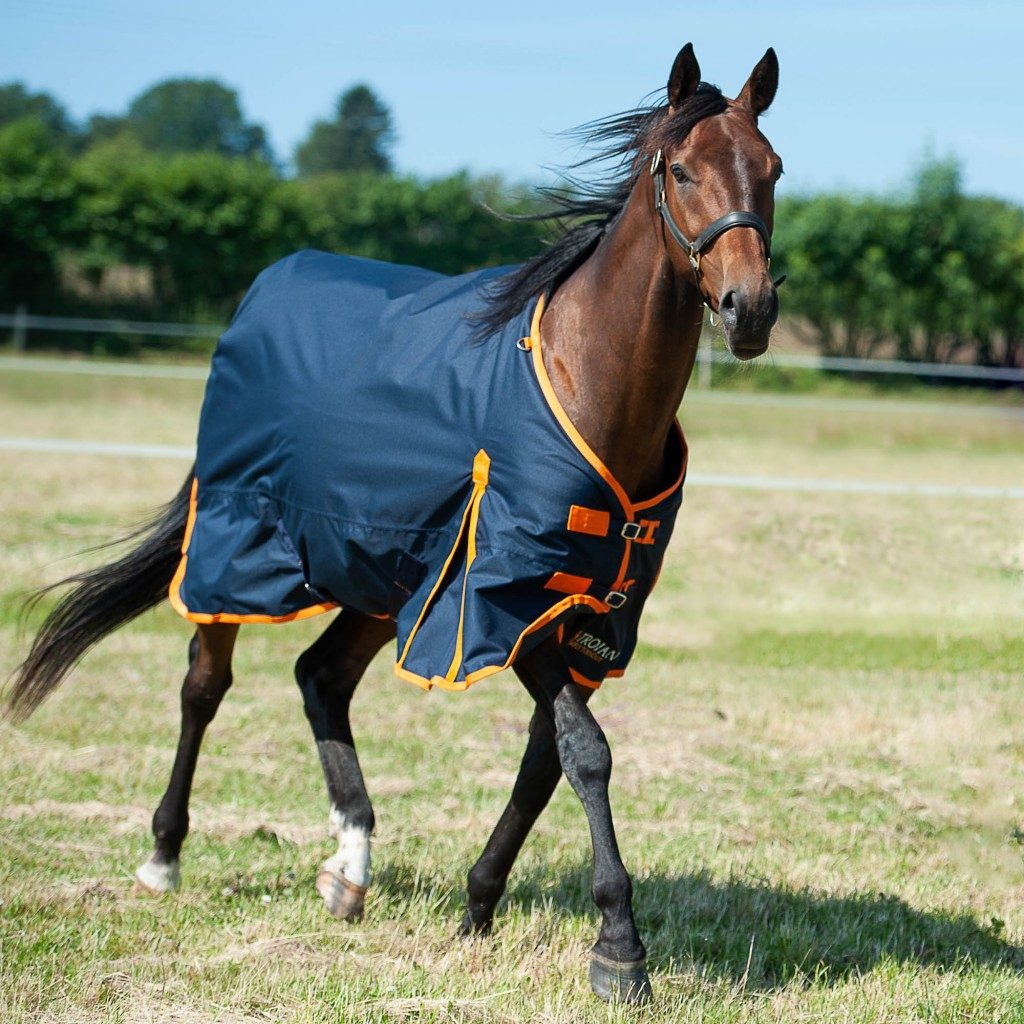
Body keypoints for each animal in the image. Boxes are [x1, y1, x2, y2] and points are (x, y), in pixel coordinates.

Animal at [6, 43, 783, 1004]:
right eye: (680, 171)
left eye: (772, 170)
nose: (750, 309)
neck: (587, 384)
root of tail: (259, 295)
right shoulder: (506, 602)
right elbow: (584, 752)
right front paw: (620, 949)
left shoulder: (586, 618)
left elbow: (543, 762)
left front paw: (479, 905)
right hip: (239, 542)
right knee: (204, 686)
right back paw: (164, 857)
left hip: (383, 574)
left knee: (320, 676)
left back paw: (350, 866)